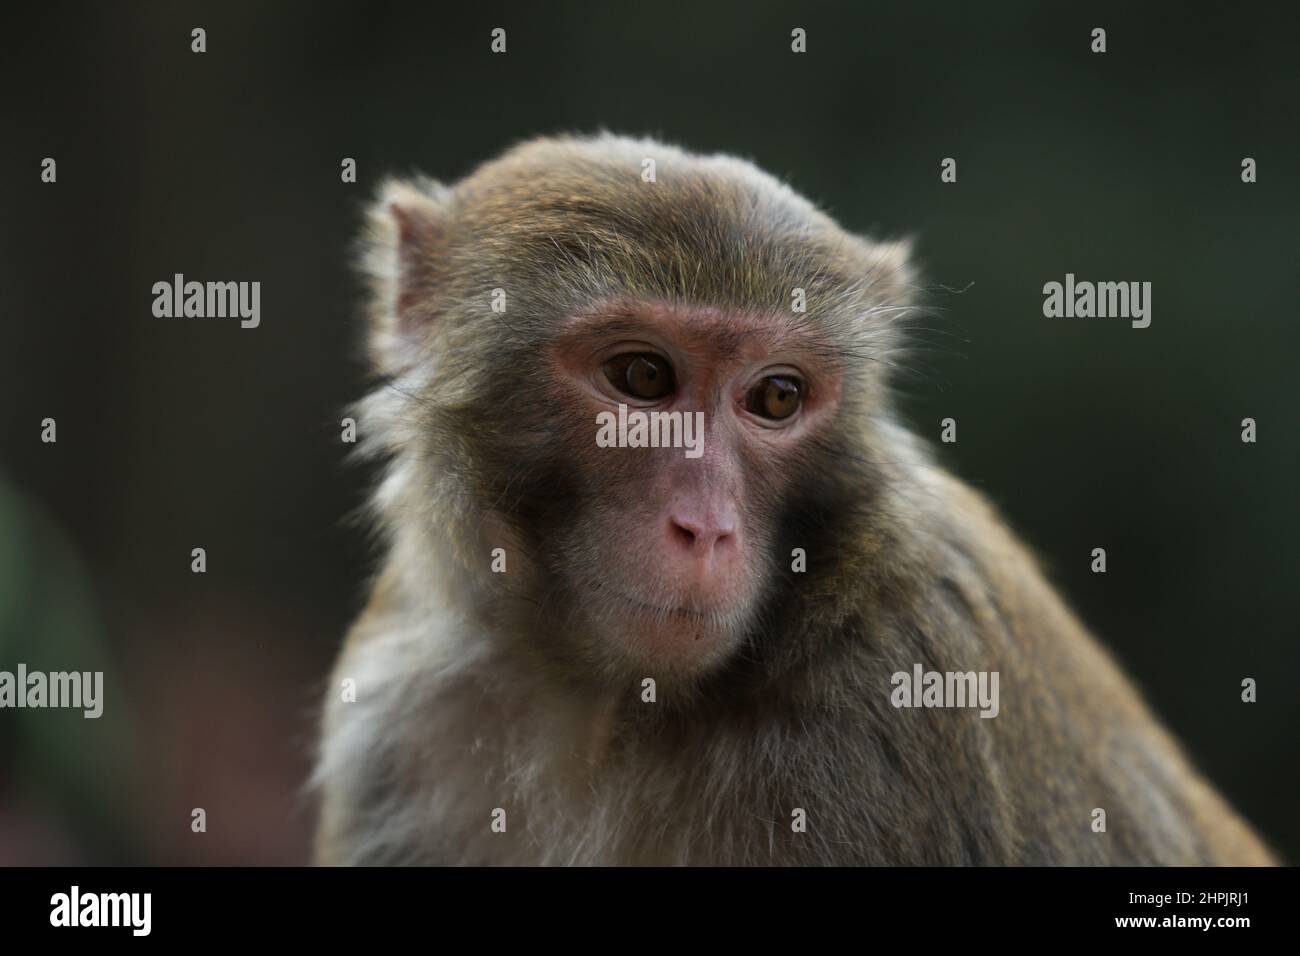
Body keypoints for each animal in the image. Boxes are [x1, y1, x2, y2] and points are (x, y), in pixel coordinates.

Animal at [313, 133, 1276, 866]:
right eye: (642, 378)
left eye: (776, 397)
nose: (705, 528)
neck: (609, 708)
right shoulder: (392, 715)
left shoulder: (907, 690)